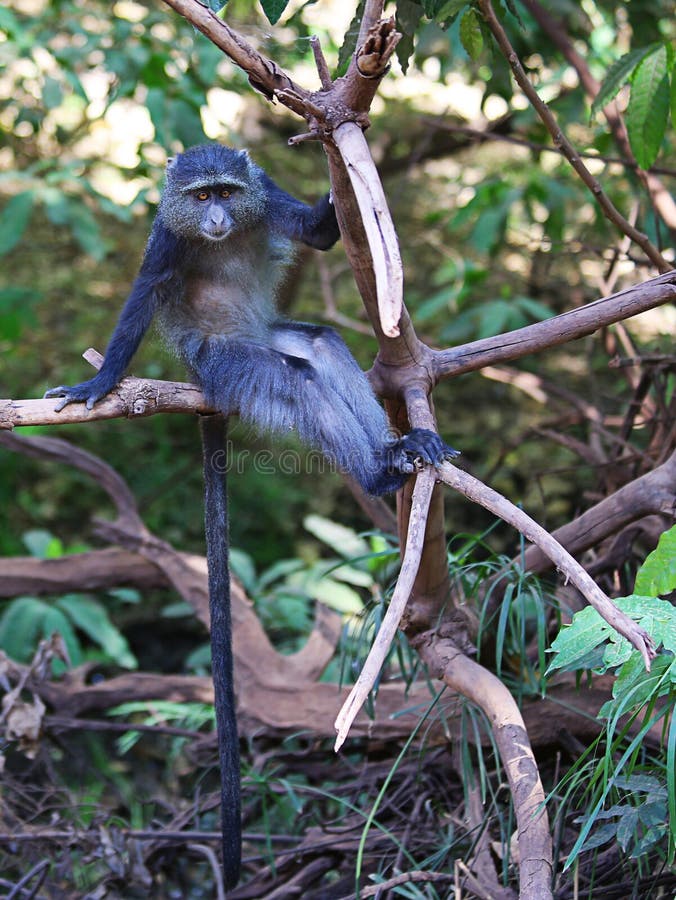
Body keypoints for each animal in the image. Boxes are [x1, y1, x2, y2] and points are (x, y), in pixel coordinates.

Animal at [45, 144, 458, 888]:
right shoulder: (166, 237)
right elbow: (141, 299)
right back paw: (382, 470)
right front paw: (99, 382)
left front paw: (343, 160)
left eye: (228, 192)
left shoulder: (264, 197)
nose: (212, 217)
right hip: (230, 366)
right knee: (295, 379)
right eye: (199, 195)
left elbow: (317, 236)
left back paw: (403, 448)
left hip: (269, 340)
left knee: (320, 345)